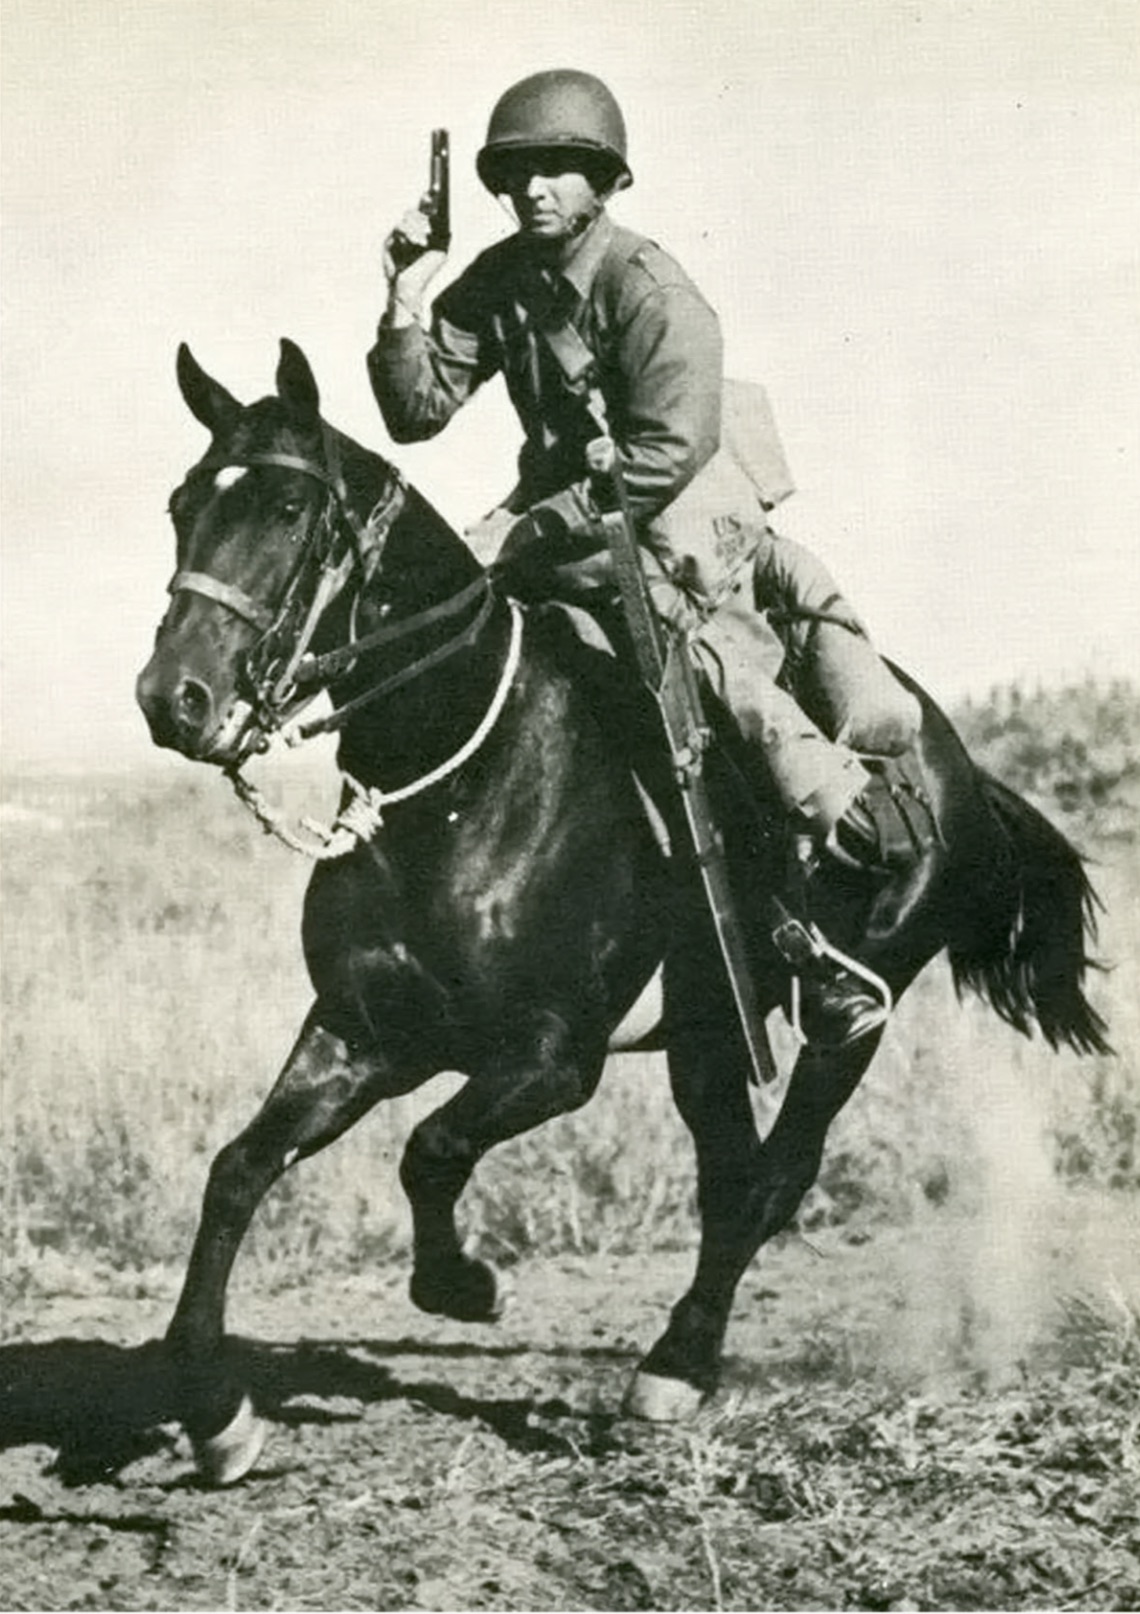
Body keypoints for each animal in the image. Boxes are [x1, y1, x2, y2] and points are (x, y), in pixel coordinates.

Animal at [136, 338, 1109, 1485]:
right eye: (182, 504)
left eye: (288, 507)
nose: (172, 698)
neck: (463, 779)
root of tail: (959, 771)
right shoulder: (362, 1034)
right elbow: (238, 1171)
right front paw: (214, 1410)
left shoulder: (554, 1059)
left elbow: (431, 1150)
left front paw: (466, 1285)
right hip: (706, 1035)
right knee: (729, 1178)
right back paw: (676, 1367)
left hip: (849, 1020)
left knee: (774, 1178)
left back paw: (674, 1367)